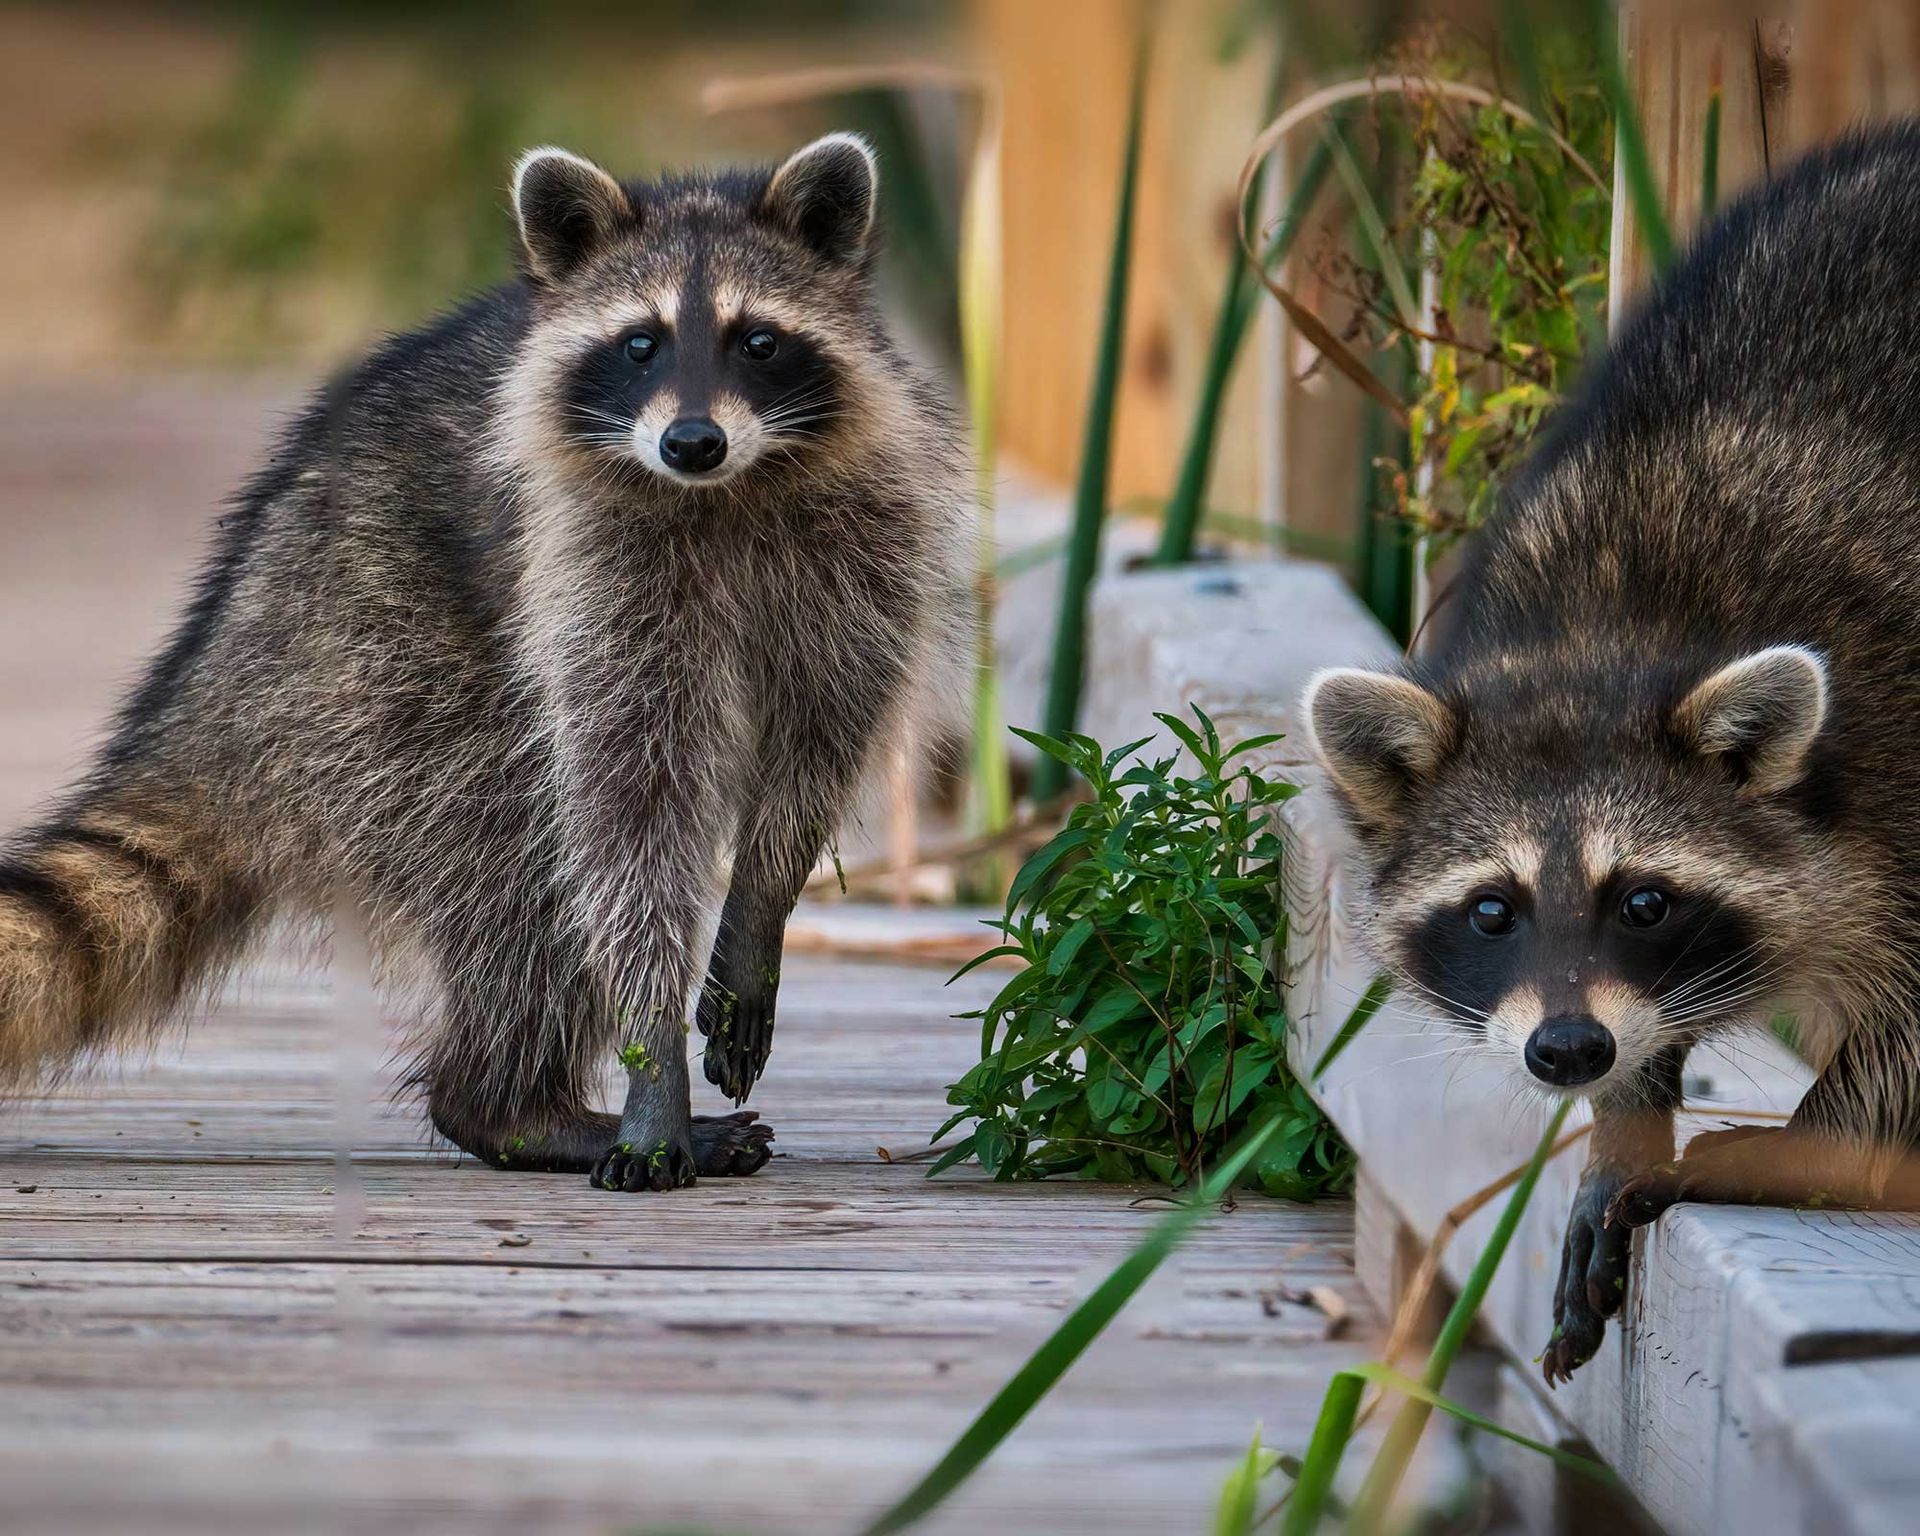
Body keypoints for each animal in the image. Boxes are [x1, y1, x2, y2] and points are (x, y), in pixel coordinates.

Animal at [0, 134, 970, 1192]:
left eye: (758, 341)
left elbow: (816, 745)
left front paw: (757, 910)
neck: (726, 490)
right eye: (641, 343)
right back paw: (512, 1106)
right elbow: (631, 810)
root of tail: (223, 672)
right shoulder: (586, 570)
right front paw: (653, 1061)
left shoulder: (869, 539)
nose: (692, 442)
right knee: (523, 876)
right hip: (393, 677)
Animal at [1304, 122, 1920, 1382]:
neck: (1610, 631)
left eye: (1643, 902)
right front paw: (1626, 1118)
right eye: (1492, 910)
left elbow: (1912, 1028)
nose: (1570, 1051)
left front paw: (1817, 1146)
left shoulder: (1904, 737)